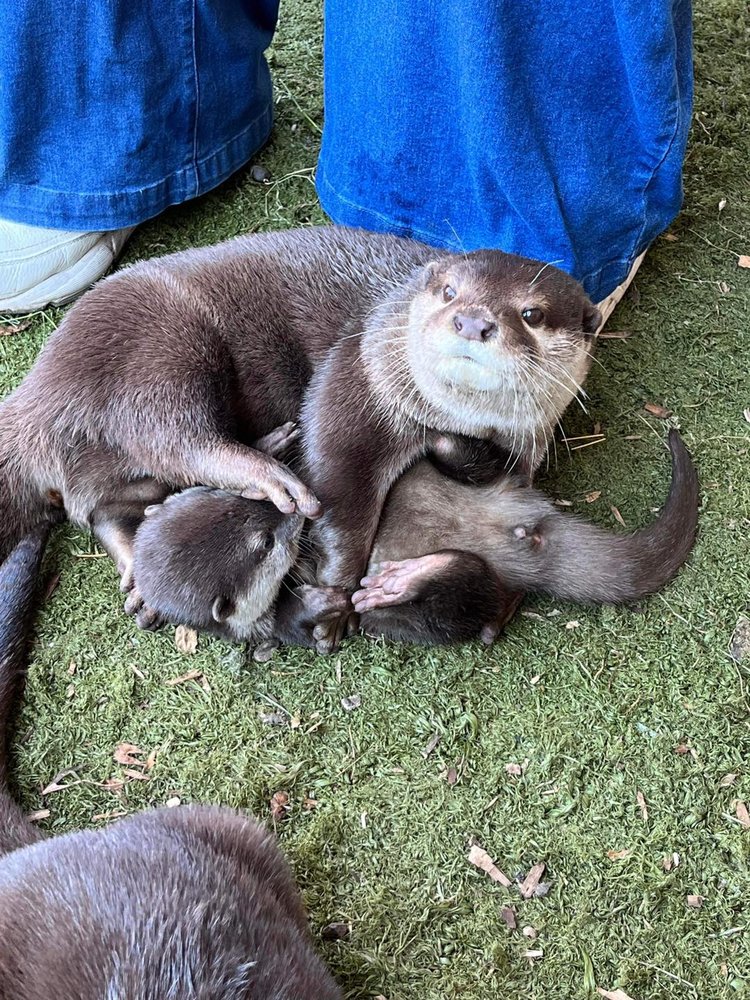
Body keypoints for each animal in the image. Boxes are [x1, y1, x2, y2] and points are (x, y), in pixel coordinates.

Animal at [0, 227, 600, 651]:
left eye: (531, 313)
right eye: (450, 292)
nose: (473, 321)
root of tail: (41, 389)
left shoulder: (523, 447)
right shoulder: (360, 377)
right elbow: (340, 483)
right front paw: (335, 601)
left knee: (108, 507)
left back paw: (142, 575)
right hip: (161, 349)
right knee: (175, 433)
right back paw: (268, 471)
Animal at [128, 430, 698, 650]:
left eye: (249, 502)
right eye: (266, 544)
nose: (295, 513)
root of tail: (519, 535)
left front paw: (275, 443)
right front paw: (318, 609)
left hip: (493, 482)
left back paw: (442, 439)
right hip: (462, 602)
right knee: (467, 592)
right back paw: (401, 585)